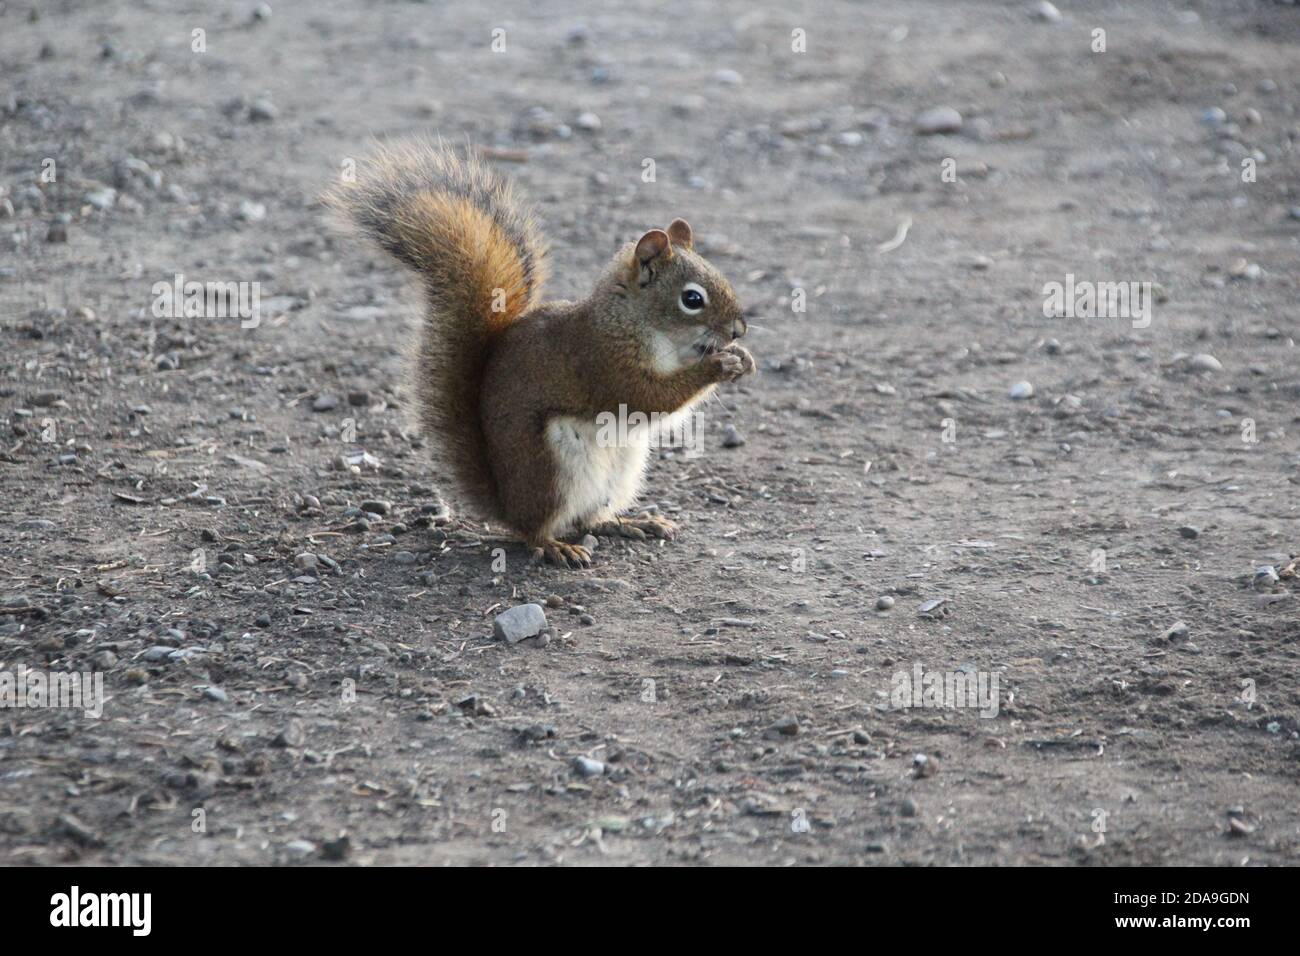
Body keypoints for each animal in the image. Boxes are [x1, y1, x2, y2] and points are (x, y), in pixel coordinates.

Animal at [325, 140, 754, 567]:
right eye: (692, 299)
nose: (739, 329)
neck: (643, 326)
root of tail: (505, 504)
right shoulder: (603, 362)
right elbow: (650, 399)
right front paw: (718, 365)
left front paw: (742, 357)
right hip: (553, 469)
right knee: (535, 528)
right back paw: (554, 545)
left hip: (622, 469)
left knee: (588, 518)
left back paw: (630, 522)